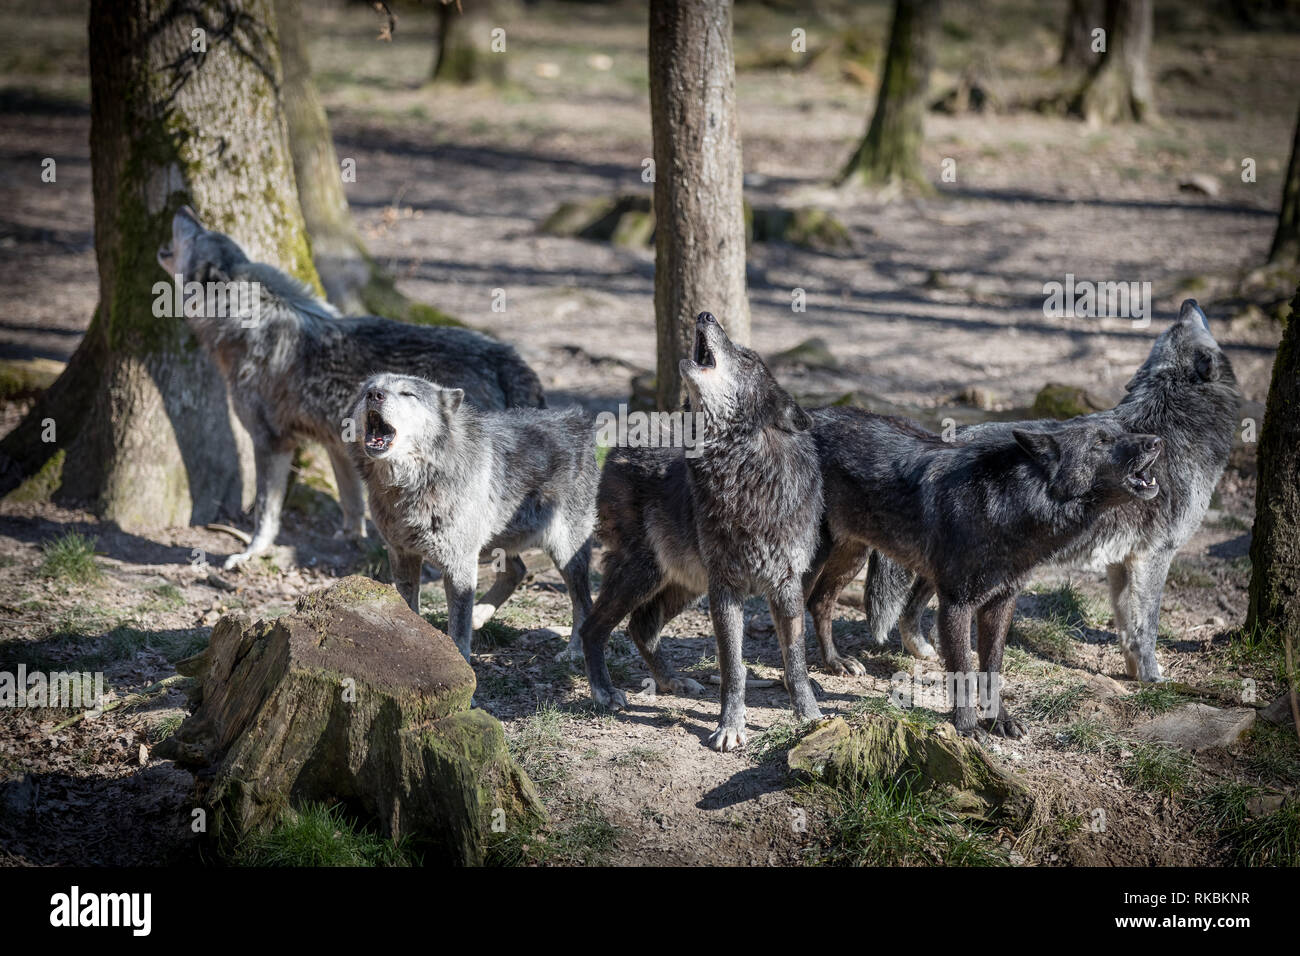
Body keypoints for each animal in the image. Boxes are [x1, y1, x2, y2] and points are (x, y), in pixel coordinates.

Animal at [155, 207, 544, 569]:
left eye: (195, 234)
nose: (185, 208)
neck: (249, 319)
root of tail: (506, 356)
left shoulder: (272, 442)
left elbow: (265, 512)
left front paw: (250, 554)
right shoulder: (336, 444)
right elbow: (352, 503)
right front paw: (353, 541)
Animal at [349, 372, 598, 663]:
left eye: (408, 394)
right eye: (370, 389)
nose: (374, 395)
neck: (413, 484)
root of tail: (576, 419)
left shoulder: (459, 563)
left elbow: (458, 624)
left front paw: (458, 659)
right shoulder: (402, 553)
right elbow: (408, 605)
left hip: (564, 552)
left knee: (584, 603)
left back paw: (574, 652)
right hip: (494, 542)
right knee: (518, 571)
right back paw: (480, 615)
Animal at [581, 312, 824, 752]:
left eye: (747, 357)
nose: (706, 315)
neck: (744, 471)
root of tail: (626, 439)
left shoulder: (786, 584)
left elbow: (795, 663)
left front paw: (809, 717)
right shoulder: (725, 587)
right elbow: (733, 667)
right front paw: (730, 726)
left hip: (683, 583)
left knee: (640, 627)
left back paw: (671, 681)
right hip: (643, 574)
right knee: (593, 627)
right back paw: (604, 691)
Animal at [805, 409, 1163, 736]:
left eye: (1123, 432)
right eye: (1101, 442)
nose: (1157, 441)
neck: (1002, 502)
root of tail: (810, 414)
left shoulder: (1000, 603)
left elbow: (991, 668)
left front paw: (998, 720)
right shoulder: (956, 605)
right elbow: (963, 669)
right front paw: (966, 726)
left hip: (852, 556)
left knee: (820, 602)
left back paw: (835, 662)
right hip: (814, 559)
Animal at [860, 300, 1239, 682]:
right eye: (1184, 325)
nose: (1188, 303)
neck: (1176, 416)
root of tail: (948, 438)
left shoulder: (1121, 561)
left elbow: (1126, 630)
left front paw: (1133, 675)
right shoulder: (1156, 555)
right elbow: (1147, 629)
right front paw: (1153, 679)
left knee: (912, 608)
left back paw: (926, 651)